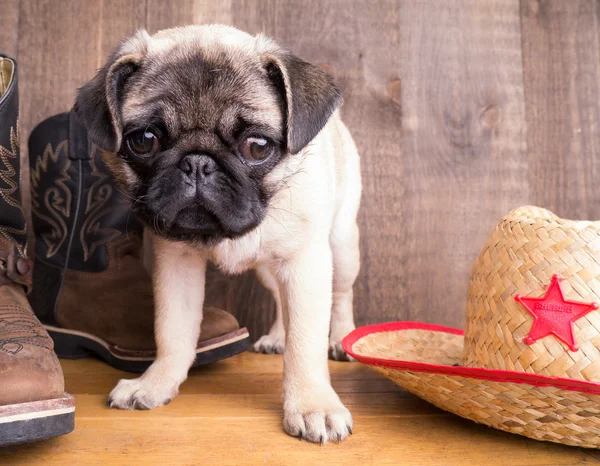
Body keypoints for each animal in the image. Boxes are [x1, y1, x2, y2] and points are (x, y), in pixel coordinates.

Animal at [74, 24, 360, 444]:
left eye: (257, 147)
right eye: (143, 140)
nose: (197, 162)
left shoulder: (306, 264)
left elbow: (306, 344)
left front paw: (312, 405)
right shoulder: (175, 264)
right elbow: (172, 331)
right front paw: (156, 383)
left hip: (340, 248)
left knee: (340, 296)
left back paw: (340, 339)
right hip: (269, 270)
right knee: (279, 299)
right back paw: (278, 336)